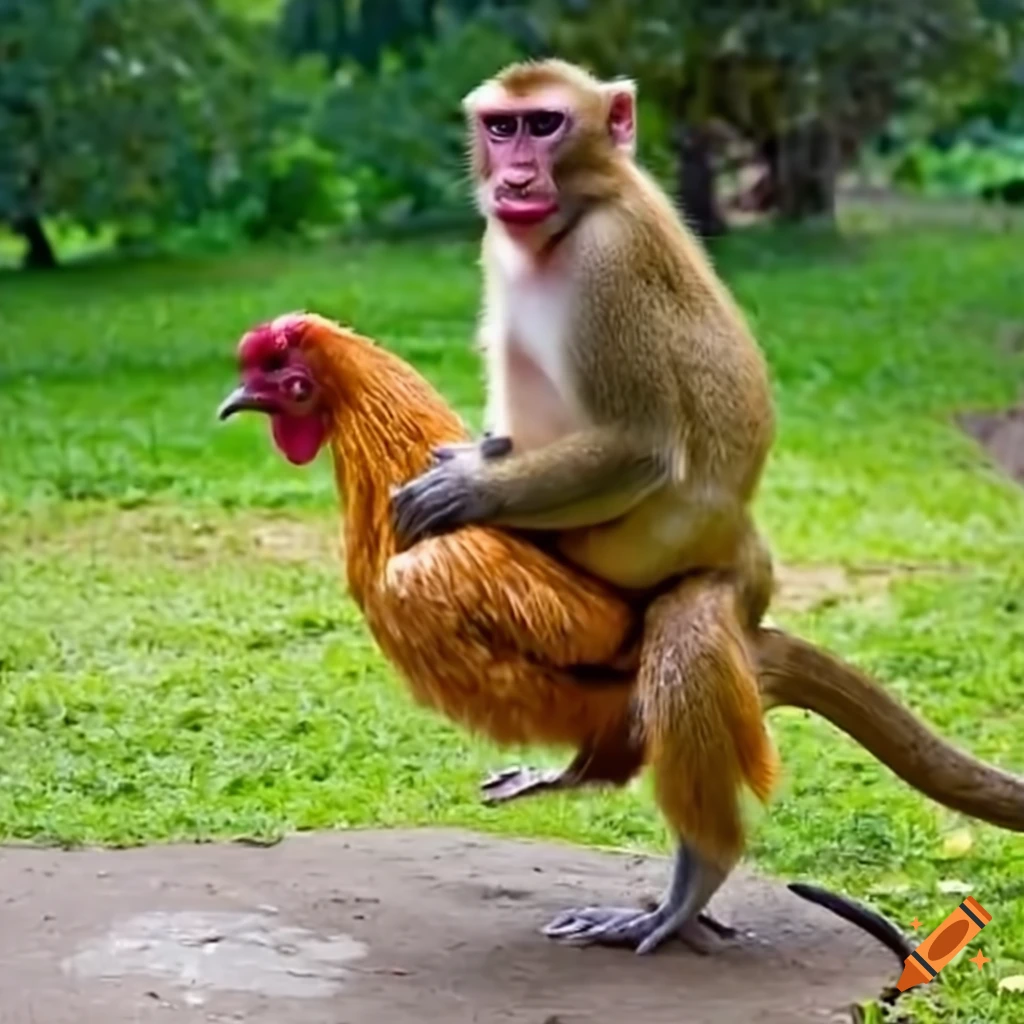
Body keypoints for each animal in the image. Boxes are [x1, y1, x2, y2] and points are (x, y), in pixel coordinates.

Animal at [389, 58, 781, 953]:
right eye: (502, 127)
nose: (515, 177)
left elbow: (641, 443)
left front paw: (470, 489)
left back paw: (697, 876)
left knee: (684, 649)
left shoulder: (611, 264)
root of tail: (751, 553)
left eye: (546, 125)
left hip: (698, 579)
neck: (577, 214)